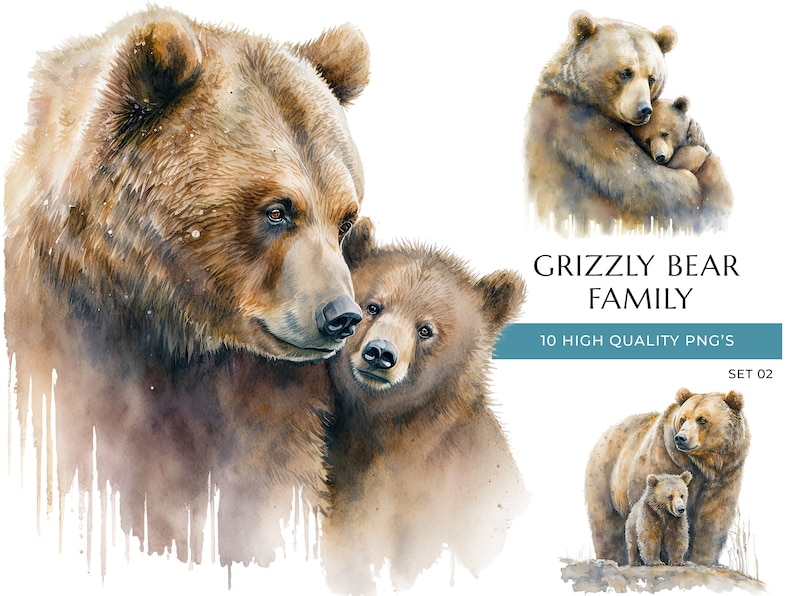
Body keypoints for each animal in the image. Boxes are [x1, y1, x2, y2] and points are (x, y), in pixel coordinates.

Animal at [525, 11, 704, 236]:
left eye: (651, 78)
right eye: (625, 72)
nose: (644, 110)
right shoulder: (584, 132)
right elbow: (645, 182)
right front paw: (690, 184)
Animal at [585, 388, 749, 566]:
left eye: (702, 420)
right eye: (682, 419)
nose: (681, 438)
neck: (702, 465)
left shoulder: (725, 476)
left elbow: (714, 516)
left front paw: (702, 560)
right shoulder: (664, 459)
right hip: (603, 476)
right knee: (607, 526)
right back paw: (612, 558)